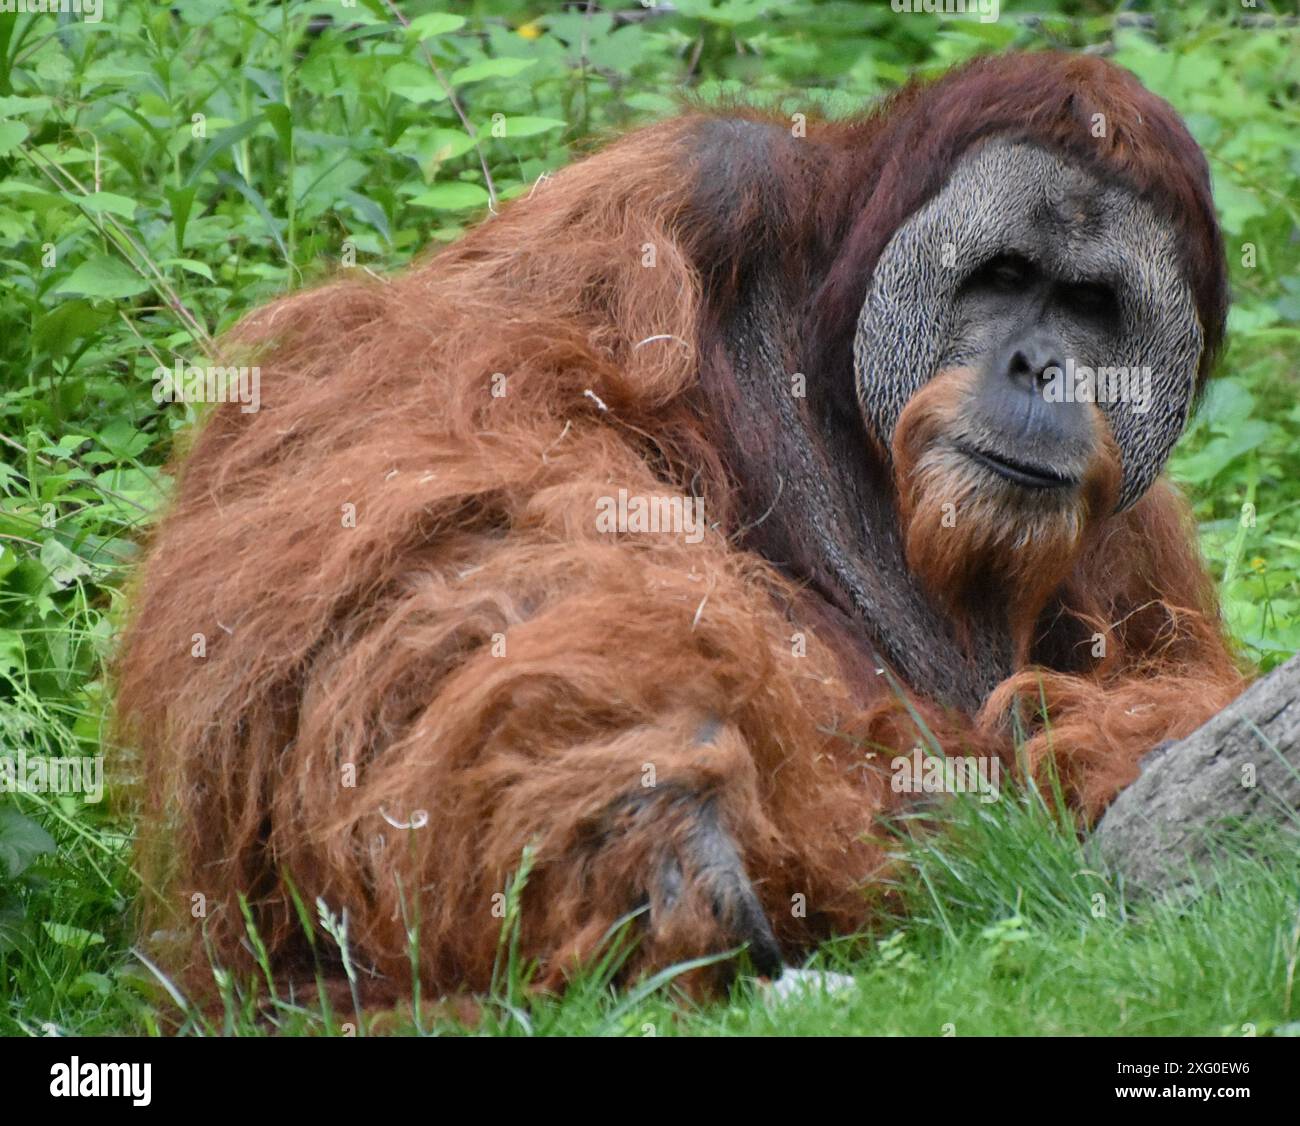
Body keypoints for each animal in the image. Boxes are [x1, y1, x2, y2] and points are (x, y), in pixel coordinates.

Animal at [116, 51, 1245, 1002]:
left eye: (1090, 307)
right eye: (1004, 278)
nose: (1038, 367)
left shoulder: (1140, 530)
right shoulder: (690, 186)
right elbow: (420, 447)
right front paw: (646, 798)